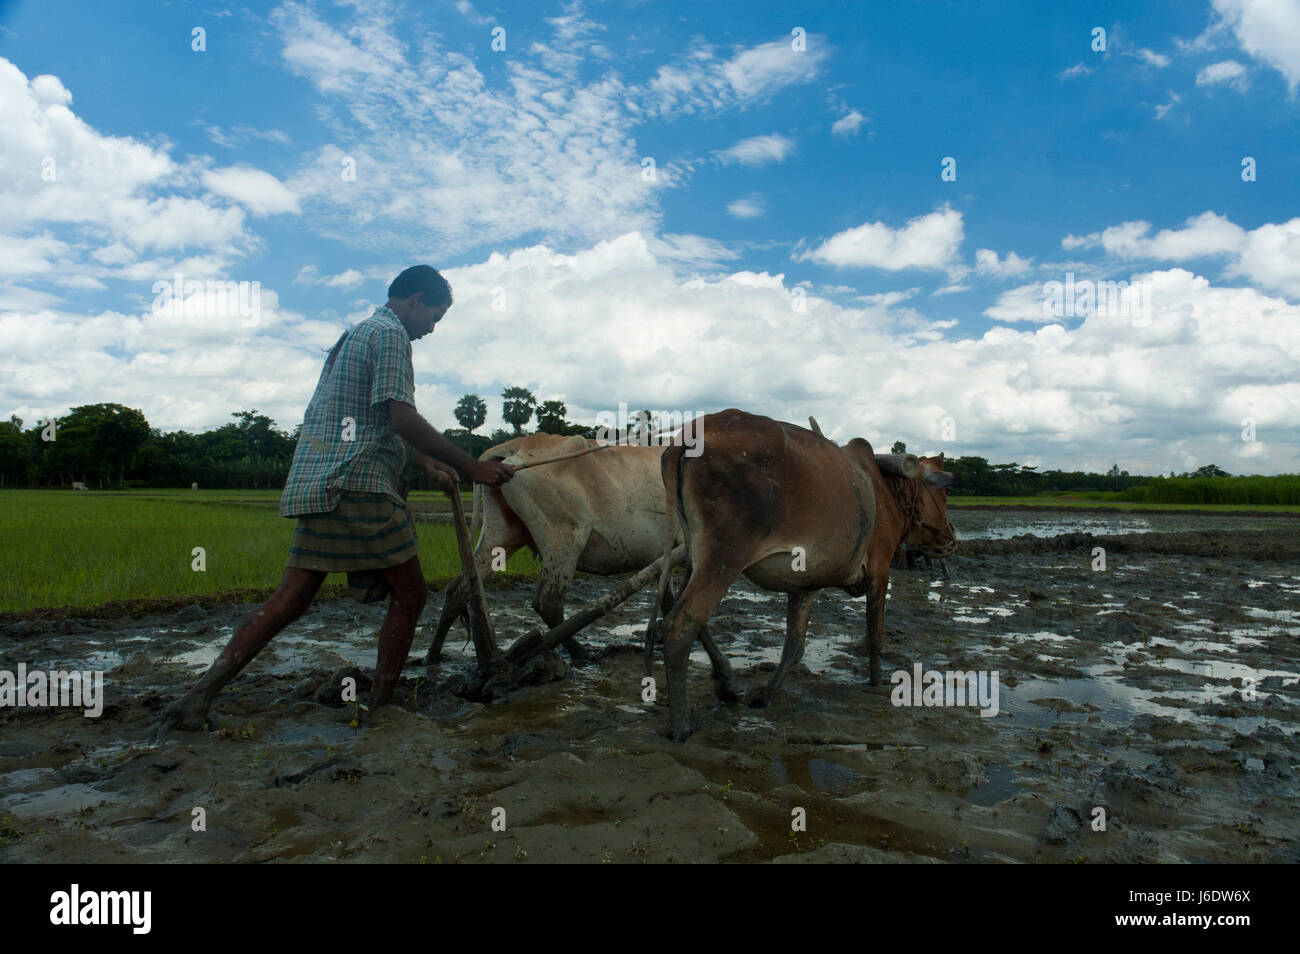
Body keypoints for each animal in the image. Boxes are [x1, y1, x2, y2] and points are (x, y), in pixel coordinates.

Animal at [429, 432, 694, 666]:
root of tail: (519, 446)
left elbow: (668, 598)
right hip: (564, 542)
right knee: (548, 603)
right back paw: (580, 654)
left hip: (501, 535)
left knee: (459, 589)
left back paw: (434, 656)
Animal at [647, 409, 956, 741]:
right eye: (945, 490)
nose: (951, 536)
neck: (888, 491)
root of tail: (690, 435)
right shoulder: (880, 569)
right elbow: (875, 637)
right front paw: (876, 684)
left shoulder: (804, 585)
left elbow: (794, 646)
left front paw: (765, 695)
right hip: (723, 558)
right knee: (679, 626)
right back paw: (681, 726)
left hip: (695, 555)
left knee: (678, 609)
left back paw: (726, 684)